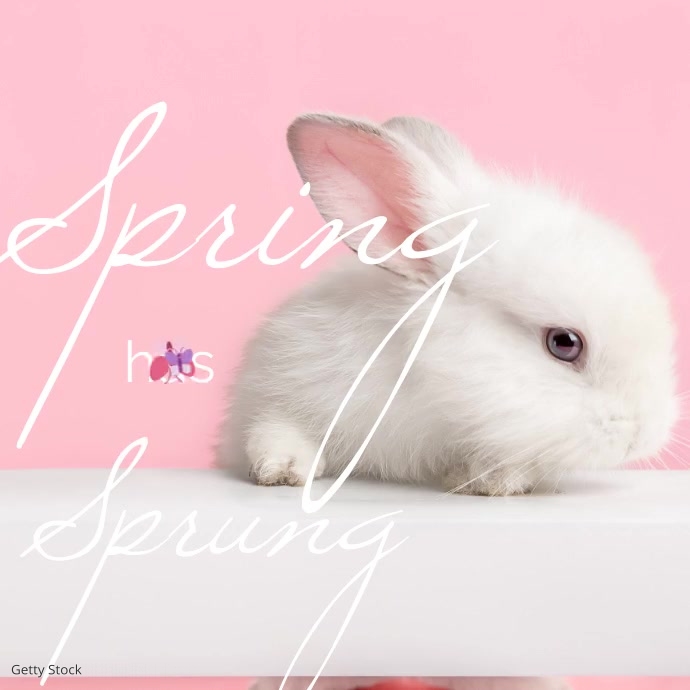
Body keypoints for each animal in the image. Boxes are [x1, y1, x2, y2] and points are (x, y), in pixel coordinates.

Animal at [217, 112, 678, 496]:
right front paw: (282, 470)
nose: (643, 435)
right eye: (564, 343)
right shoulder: (276, 388)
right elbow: (274, 429)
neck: (437, 400)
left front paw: (490, 480)